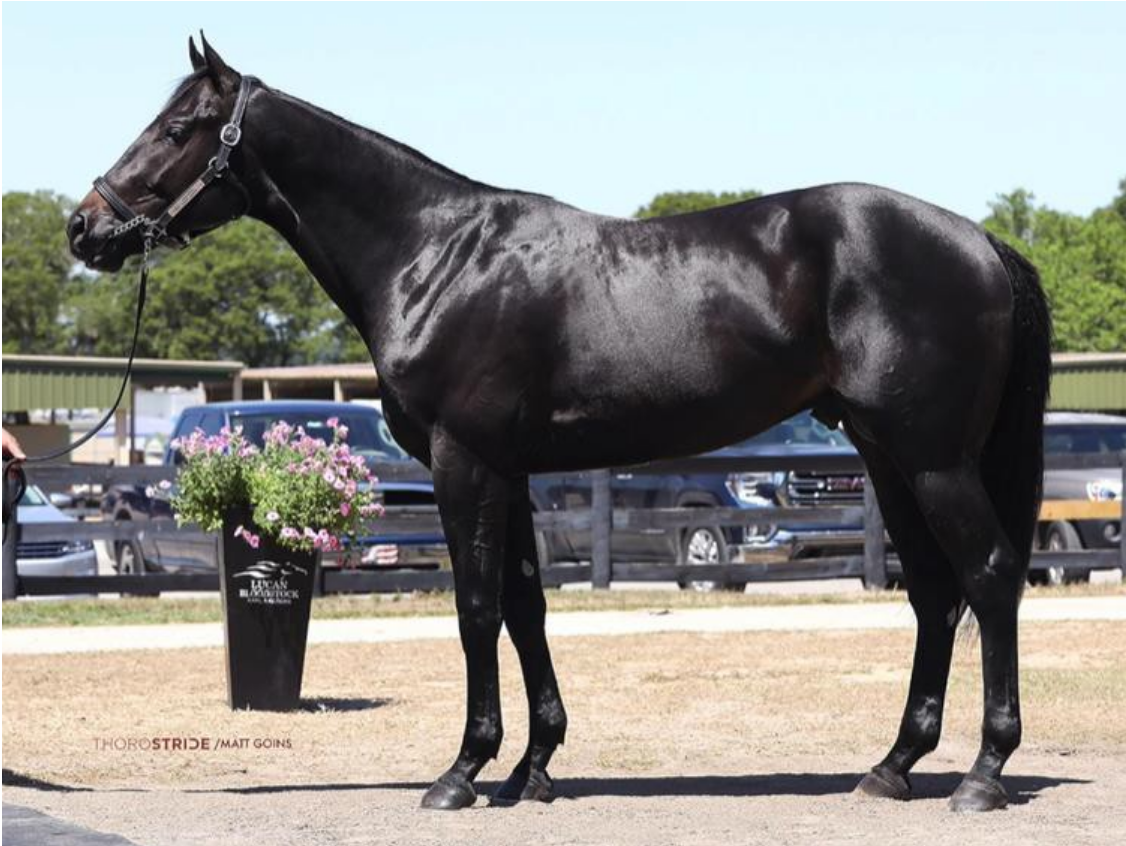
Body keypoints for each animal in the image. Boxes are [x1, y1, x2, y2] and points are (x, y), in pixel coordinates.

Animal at [68, 37, 1051, 813]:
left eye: (177, 128)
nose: (85, 227)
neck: (436, 255)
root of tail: (979, 239)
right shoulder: (509, 471)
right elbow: (525, 607)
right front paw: (531, 768)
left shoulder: (463, 463)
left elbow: (473, 608)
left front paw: (462, 772)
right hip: (889, 454)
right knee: (935, 592)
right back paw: (893, 767)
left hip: (932, 458)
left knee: (990, 574)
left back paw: (983, 774)